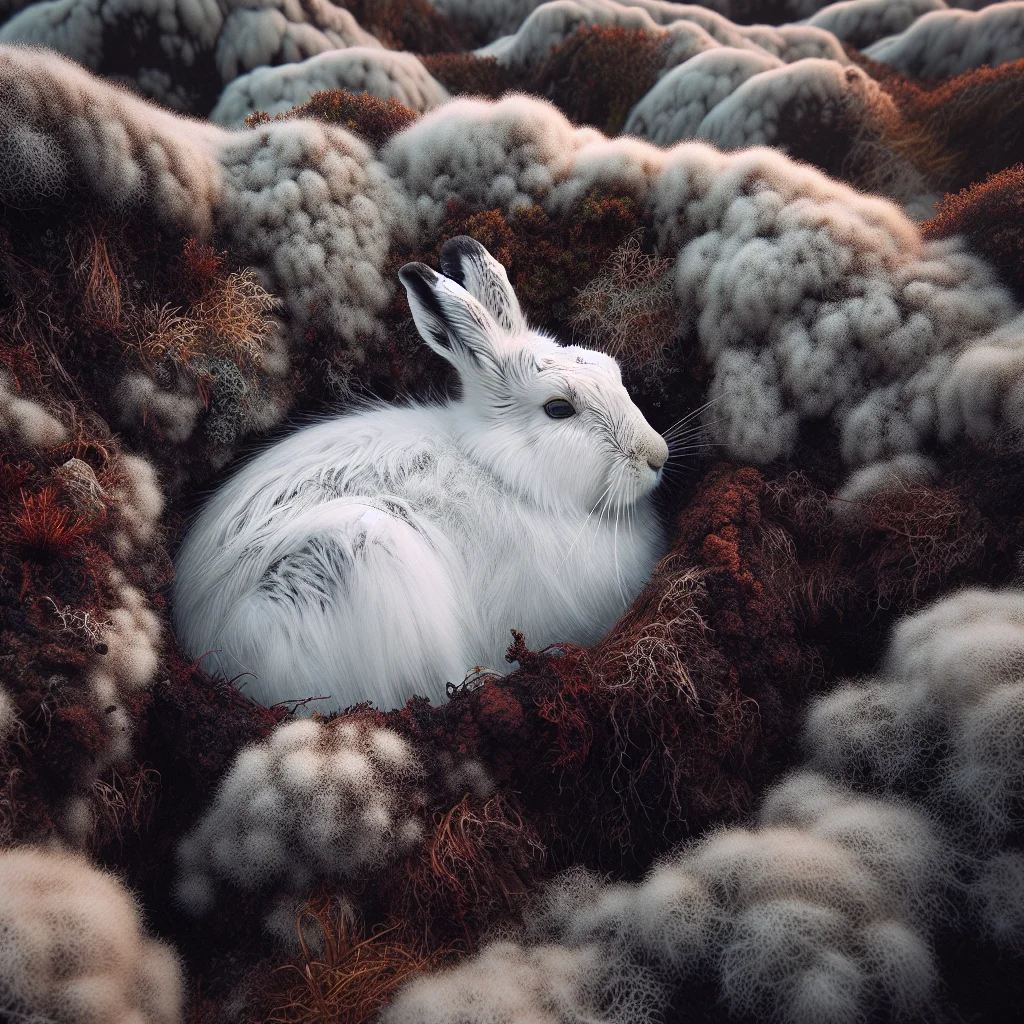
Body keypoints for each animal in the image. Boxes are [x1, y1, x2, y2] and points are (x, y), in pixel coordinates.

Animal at [171, 236, 670, 714]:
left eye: (612, 370)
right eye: (559, 409)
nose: (657, 456)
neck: (505, 475)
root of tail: (204, 647)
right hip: (351, 556)